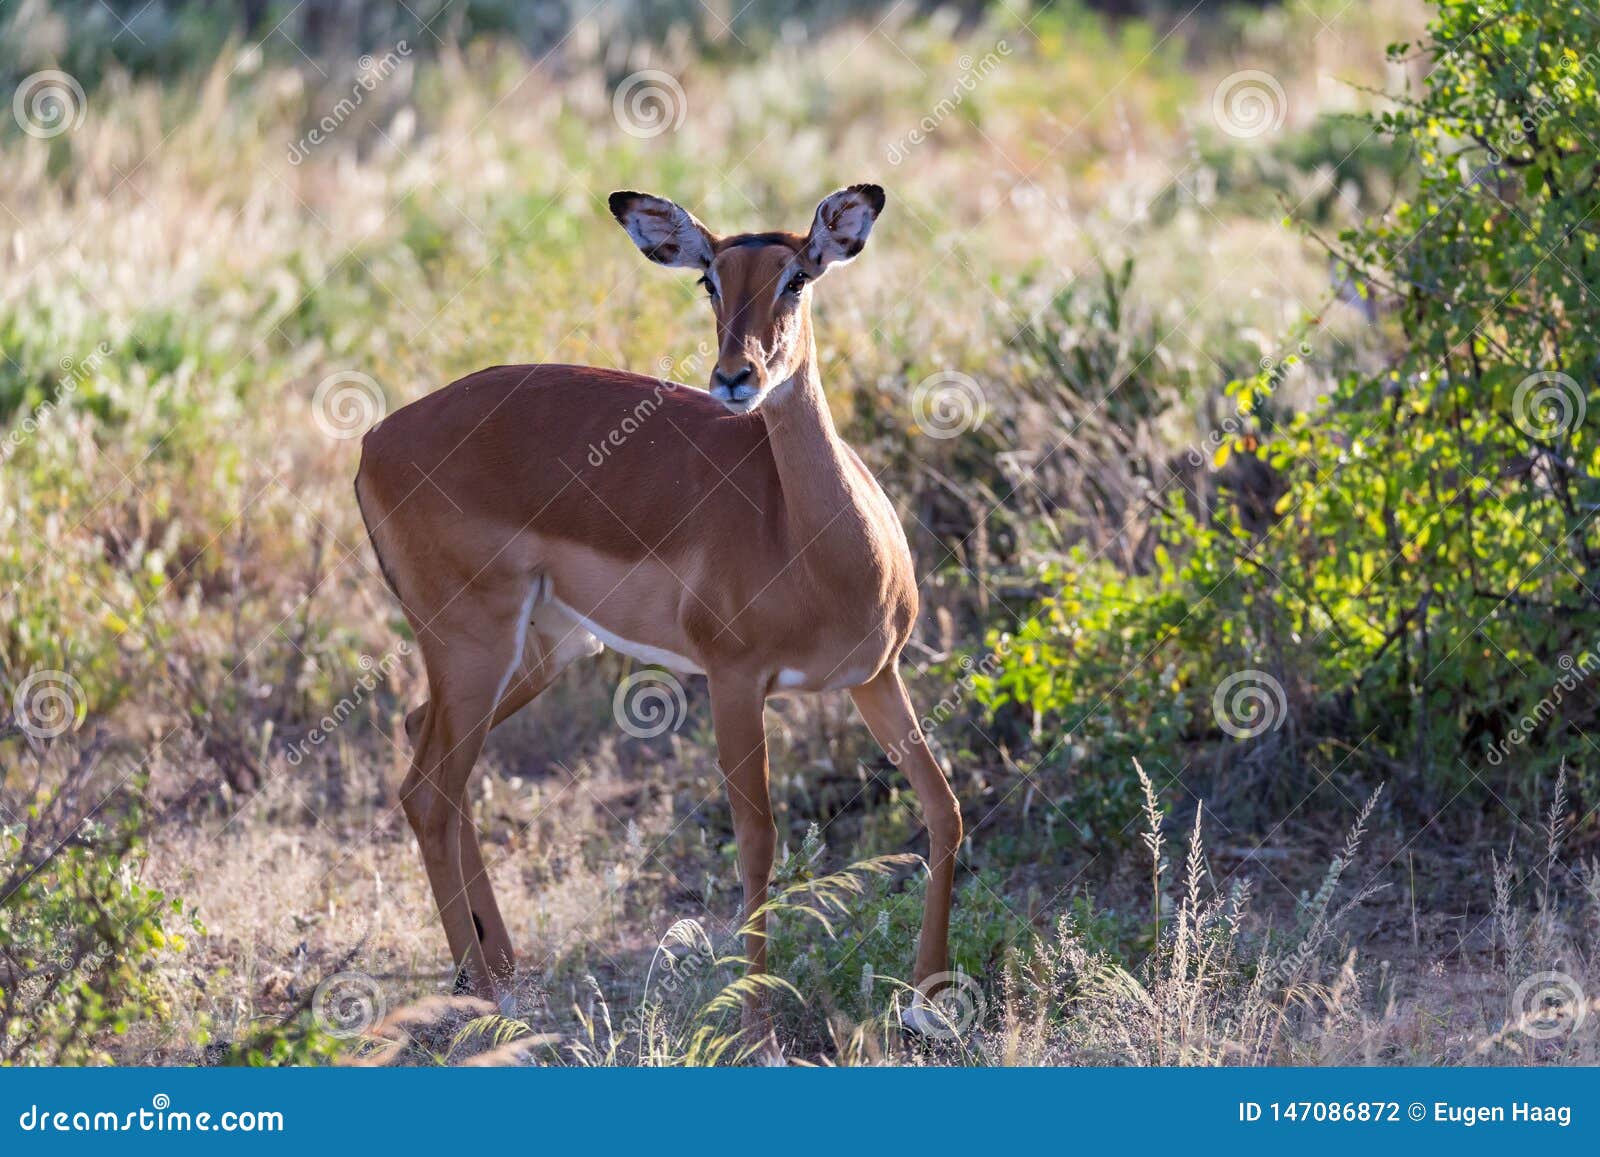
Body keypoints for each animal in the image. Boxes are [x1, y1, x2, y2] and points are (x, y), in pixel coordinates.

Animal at [354, 184, 962, 1036]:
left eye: (797, 277)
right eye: (709, 280)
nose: (735, 376)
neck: (811, 538)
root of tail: (375, 440)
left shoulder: (877, 675)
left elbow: (943, 807)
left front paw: (932, 1000)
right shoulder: (734, 679)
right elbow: (757, 839)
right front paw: (757, 1025)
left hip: (544, 651)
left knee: (422, 742)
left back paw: (502, 973)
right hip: (475, 647)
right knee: (428, 792)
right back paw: (487, 1005)